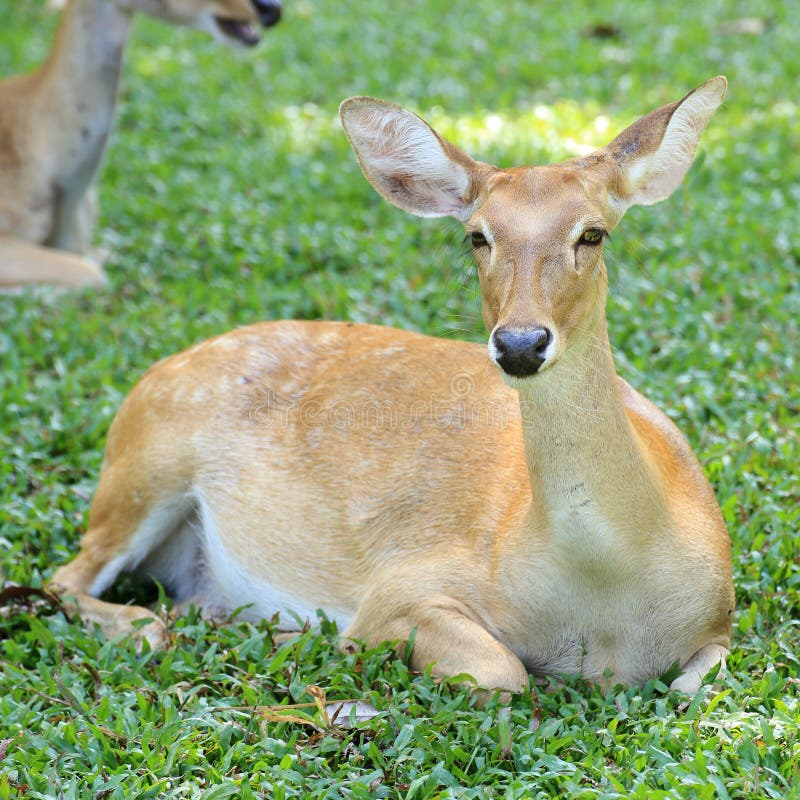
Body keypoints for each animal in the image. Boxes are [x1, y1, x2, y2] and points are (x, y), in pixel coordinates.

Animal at [49, 77, 734, 699]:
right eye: (477, 235)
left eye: (593, 233)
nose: (520, 343)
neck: (608, 597)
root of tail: (154, 373)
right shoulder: (403, 585)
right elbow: (503, 672)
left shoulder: (722, 620)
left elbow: (691, 687)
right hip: (144, 468)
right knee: (65, 578)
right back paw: (164, 626)